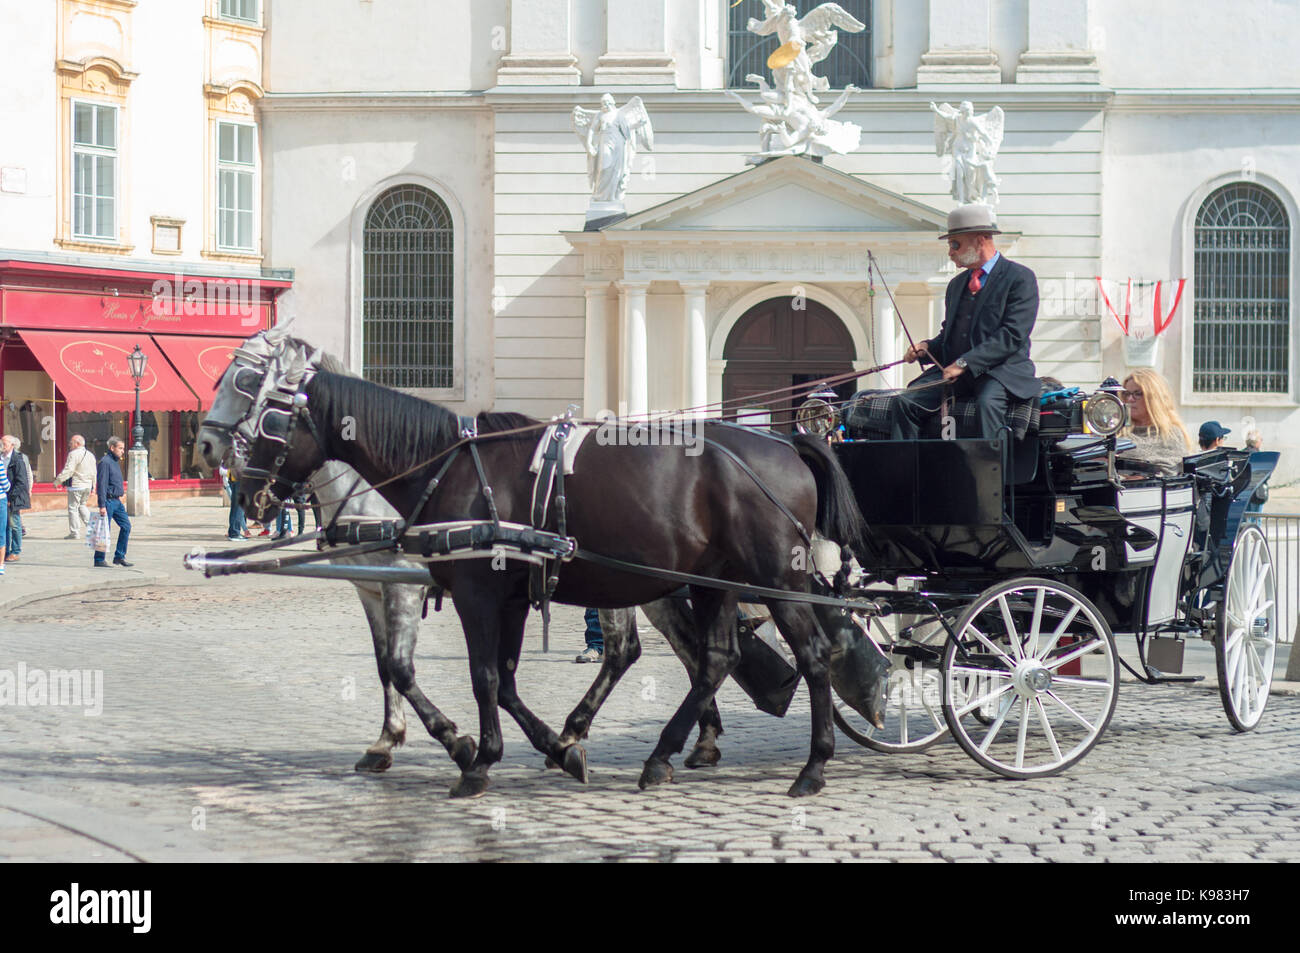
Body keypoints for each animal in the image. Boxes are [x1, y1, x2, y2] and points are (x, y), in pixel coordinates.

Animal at [232, 355, 883, 798]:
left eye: (268, 420)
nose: (240, 486)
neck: (450, 469)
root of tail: (789, 442)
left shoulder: (471, 594)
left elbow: (477, 676)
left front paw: (477, 759)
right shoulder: (508, 596)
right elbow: (498, 679)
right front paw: (546, 749)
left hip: (776, 581)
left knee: (812, 655)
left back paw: (812, 766)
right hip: (712, 584)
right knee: (715, 658)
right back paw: (663, 752)